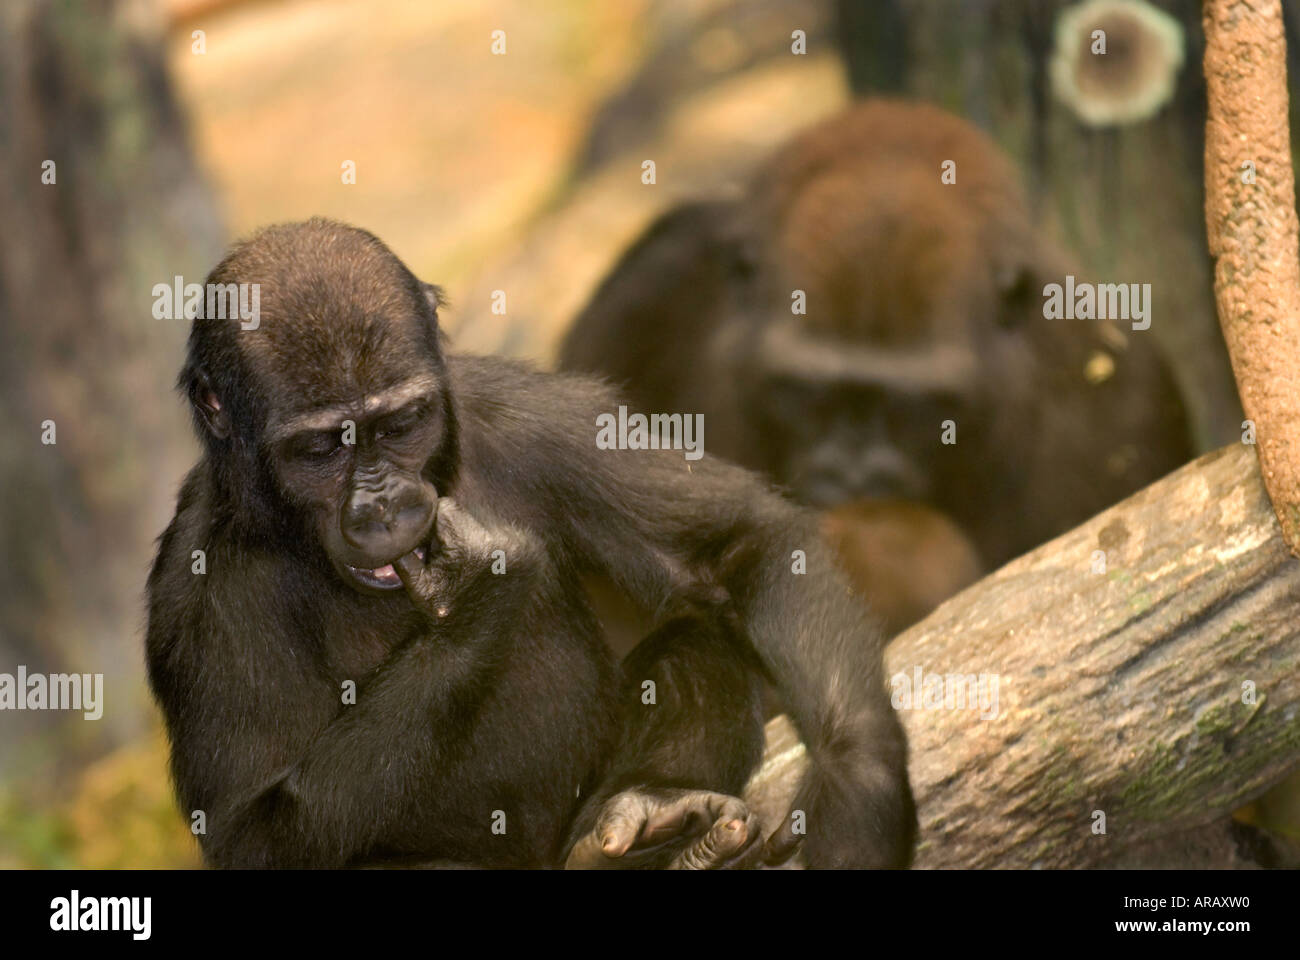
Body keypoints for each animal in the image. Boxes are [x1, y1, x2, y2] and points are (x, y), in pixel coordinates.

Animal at [146, 217, 914, 869]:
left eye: (401, 424)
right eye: (319, 448)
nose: (385, 505)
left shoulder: (524, 414)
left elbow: (739, 543)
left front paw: (859, 787)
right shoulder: (197, 595)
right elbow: (255, 832)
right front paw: (476, 590)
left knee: (700, 649)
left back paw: (647, 817)